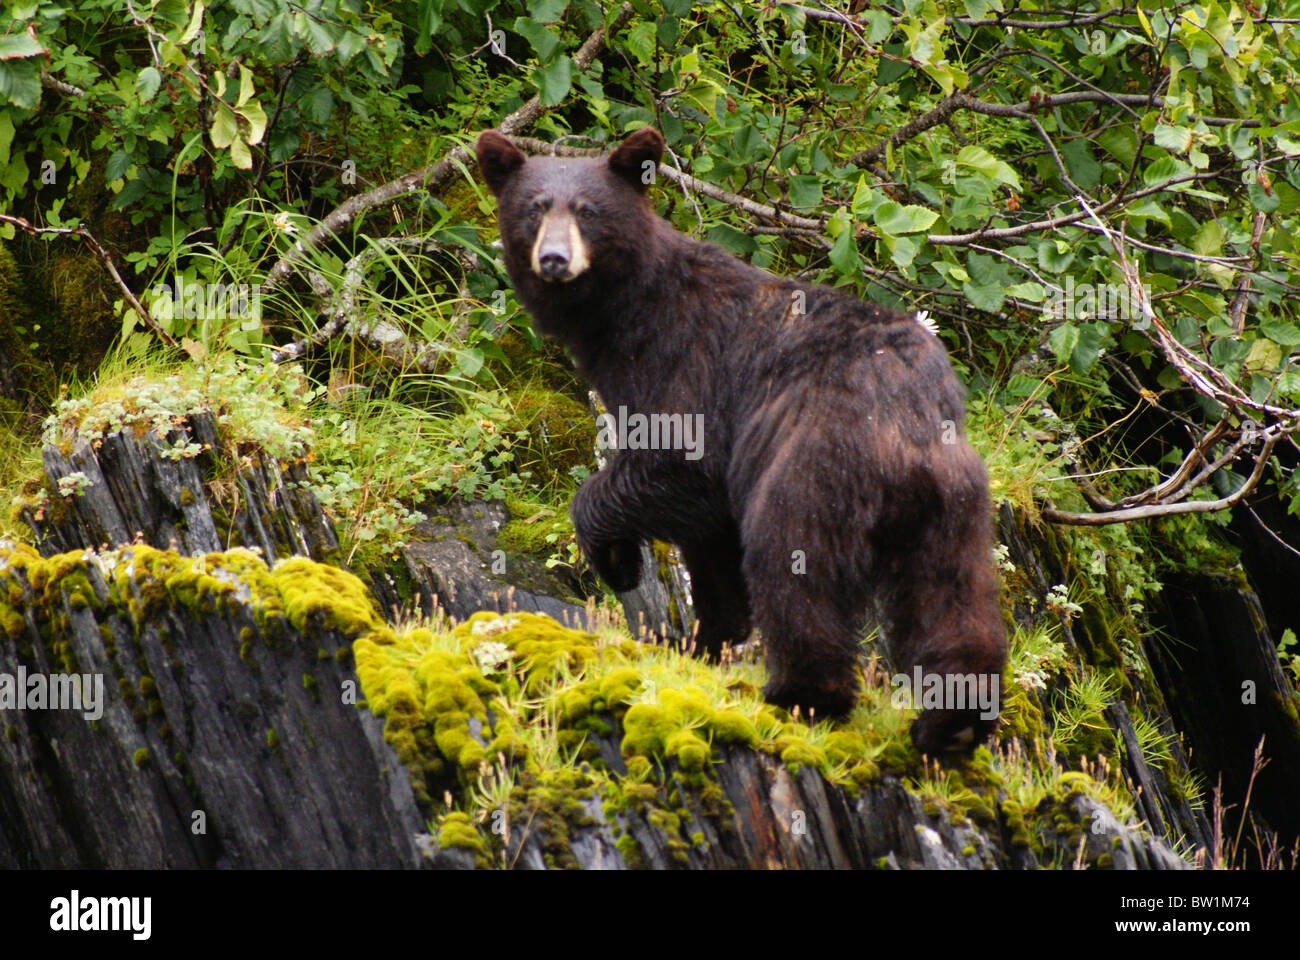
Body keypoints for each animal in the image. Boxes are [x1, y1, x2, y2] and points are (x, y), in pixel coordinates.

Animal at [475, 126, 1006, 753]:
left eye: (588, 211)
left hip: (813, 465)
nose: (555, 259)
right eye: (534, 208)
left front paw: (619, 563)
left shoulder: (685, 374)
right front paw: (700, 642)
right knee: (953, 596)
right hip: (954, 500)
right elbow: (711, 553)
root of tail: (905, 404)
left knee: (792, 568)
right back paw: (953, 721)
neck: (621, 317)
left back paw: (803, 693)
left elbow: (677, 472)